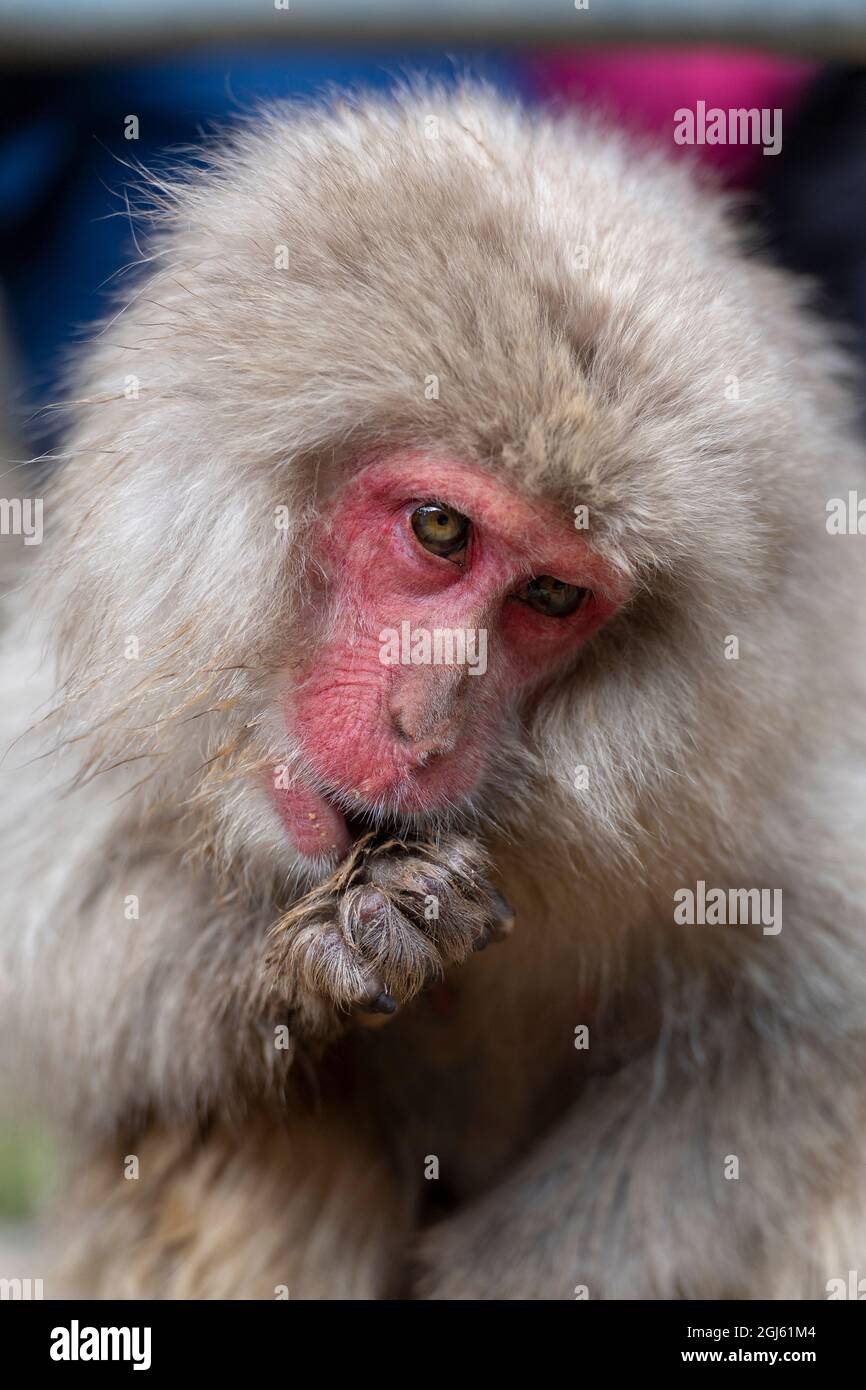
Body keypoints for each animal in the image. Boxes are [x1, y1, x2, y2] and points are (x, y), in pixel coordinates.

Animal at [1, 83, 866, 1301]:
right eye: (440, 529)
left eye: (551, 593)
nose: (423, 722)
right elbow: (41, 929)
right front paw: (329, 947)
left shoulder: (759, 767)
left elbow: (806, 1042)